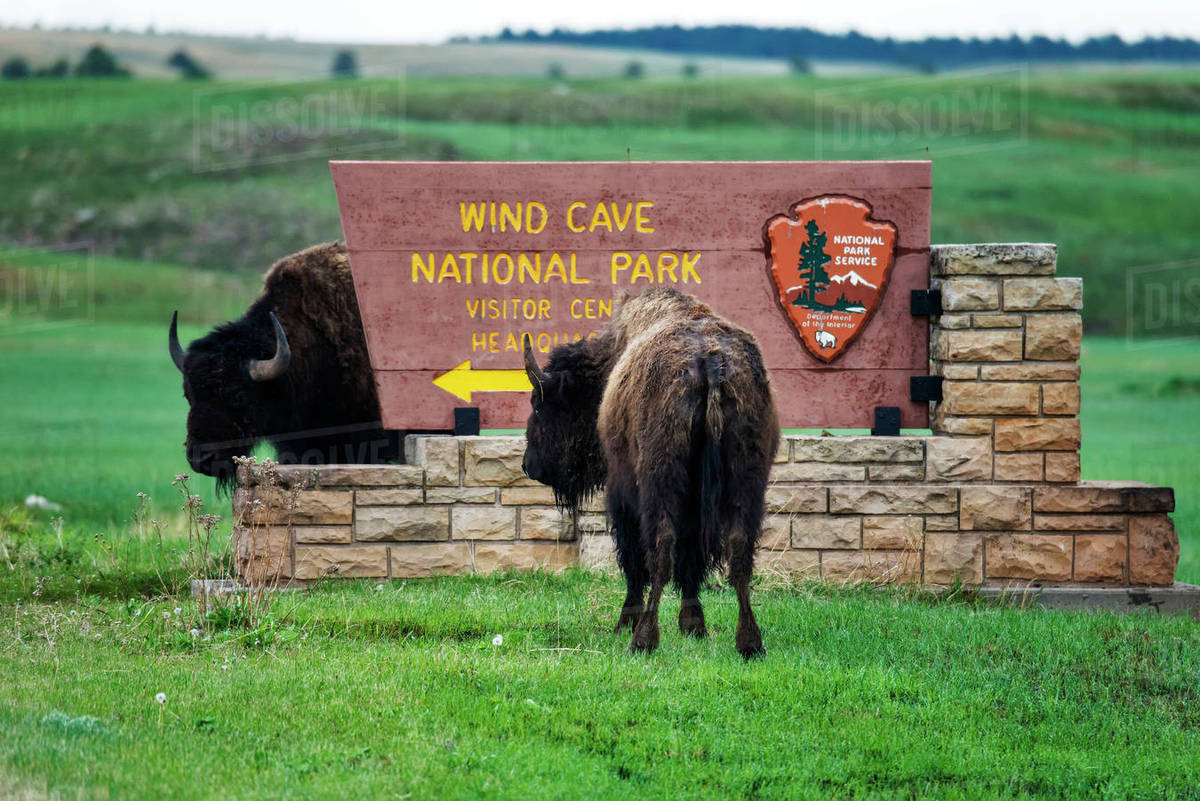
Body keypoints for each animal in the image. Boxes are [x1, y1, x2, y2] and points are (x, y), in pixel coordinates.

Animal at [522, 287, 779, 658]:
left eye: (541, 405)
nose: (529, 464)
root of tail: (708, 363)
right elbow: (691, 562)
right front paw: (693, 625)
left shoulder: (621, 494)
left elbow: (633, 559)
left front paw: (625, 622)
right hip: (747, 481)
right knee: (739, 549)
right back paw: (749, 643)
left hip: (660, 482)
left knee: (661, 547)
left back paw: (642, 638)